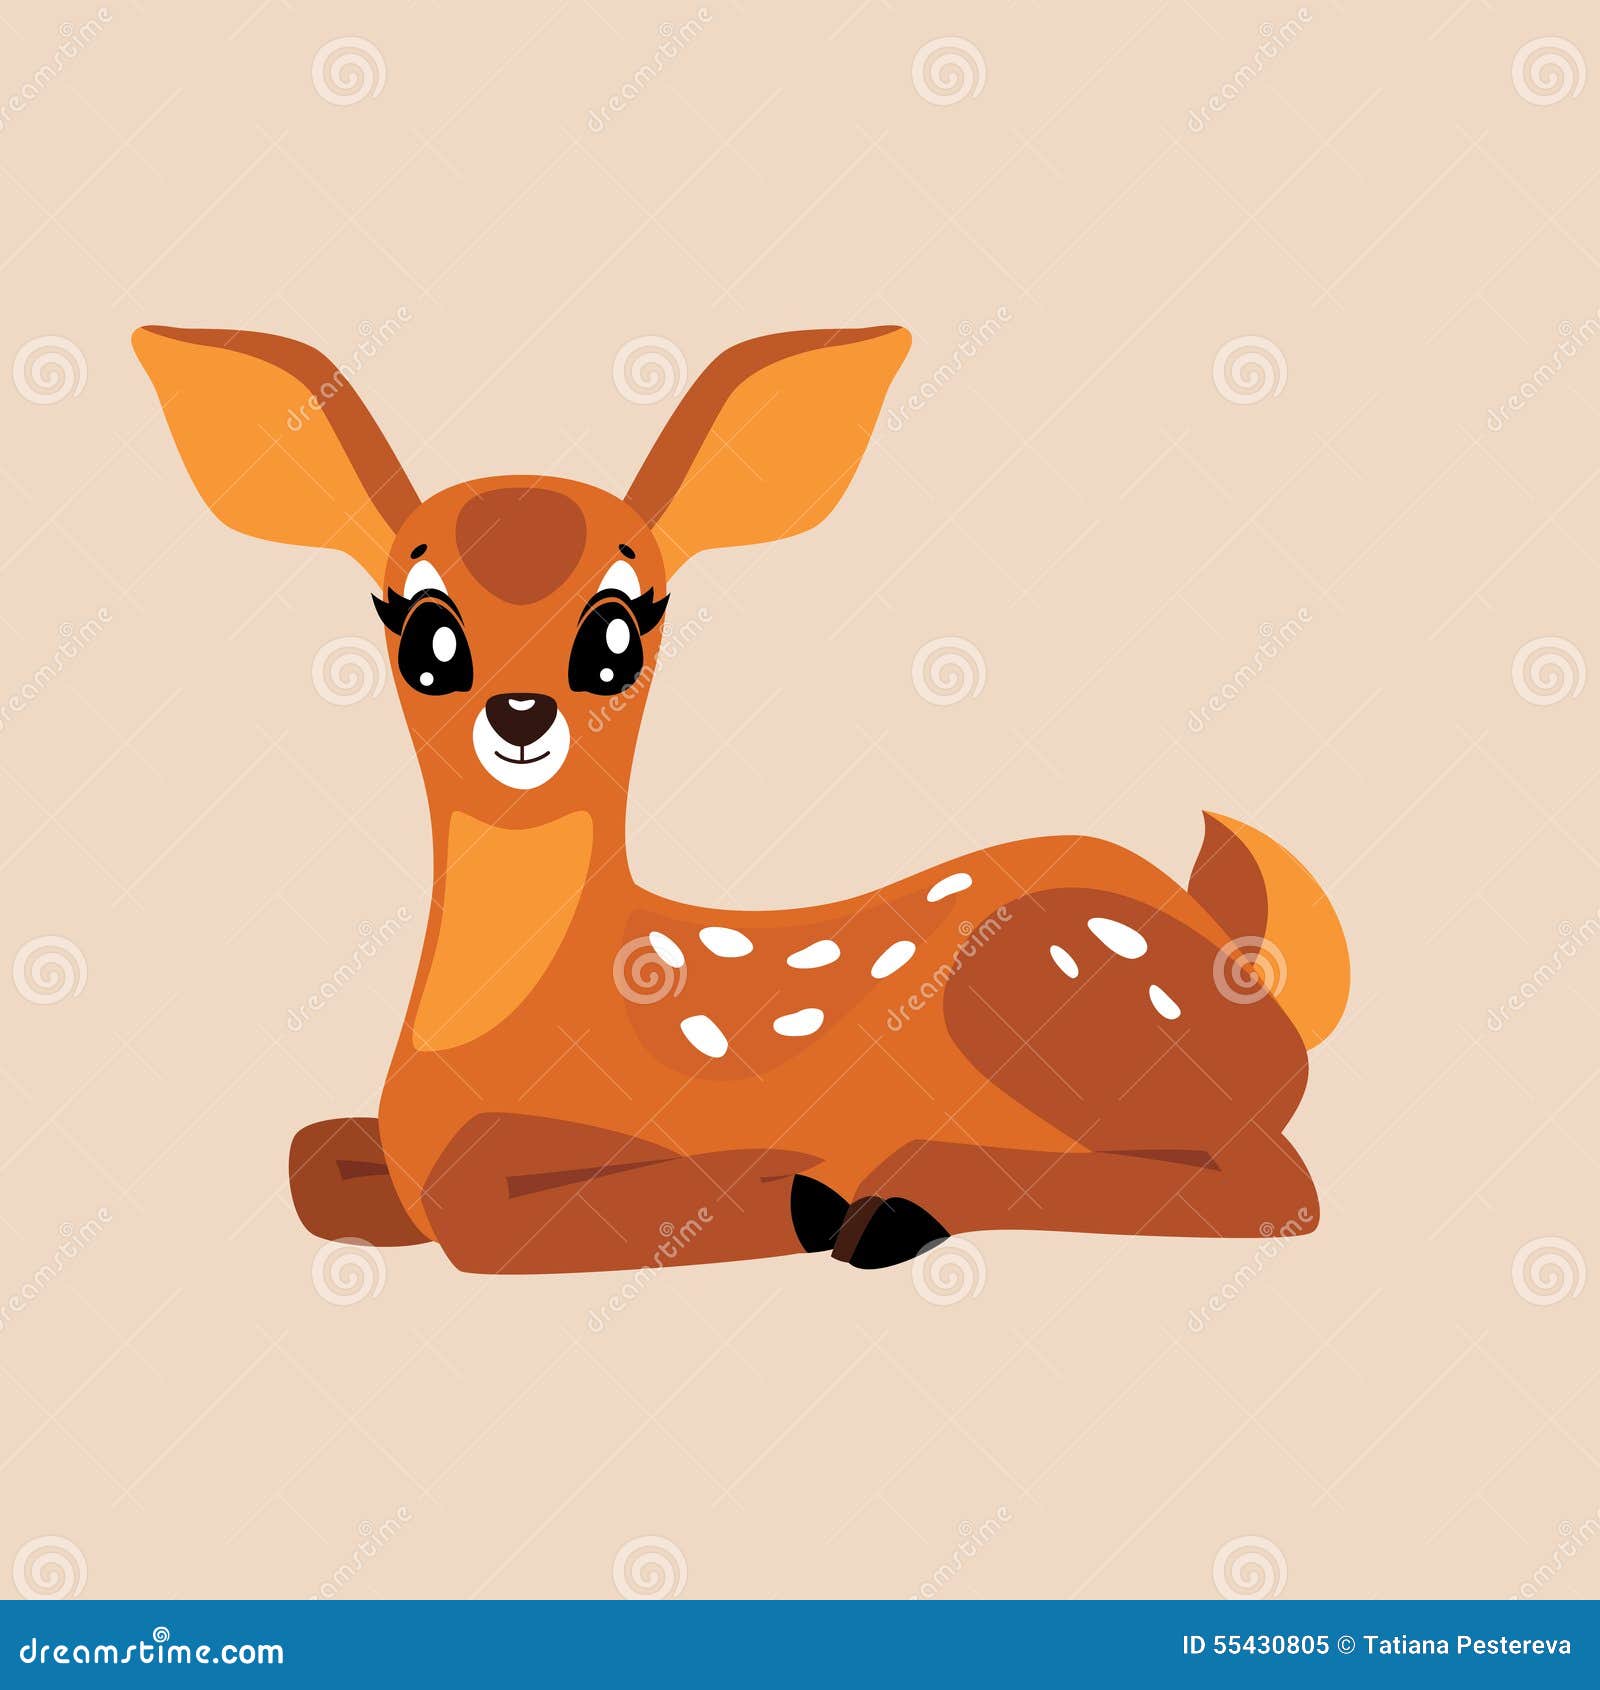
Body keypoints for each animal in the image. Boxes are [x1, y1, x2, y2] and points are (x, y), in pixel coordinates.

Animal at [133, 322, 1350, 1276]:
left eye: (618, 630)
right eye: (425, 630)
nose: (521, 716)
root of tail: (1246, 958)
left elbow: (482, 1204)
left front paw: (791, 1191)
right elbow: (312, 1158)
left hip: (1050, 987)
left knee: (1280, 1184)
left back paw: (888, 1201)